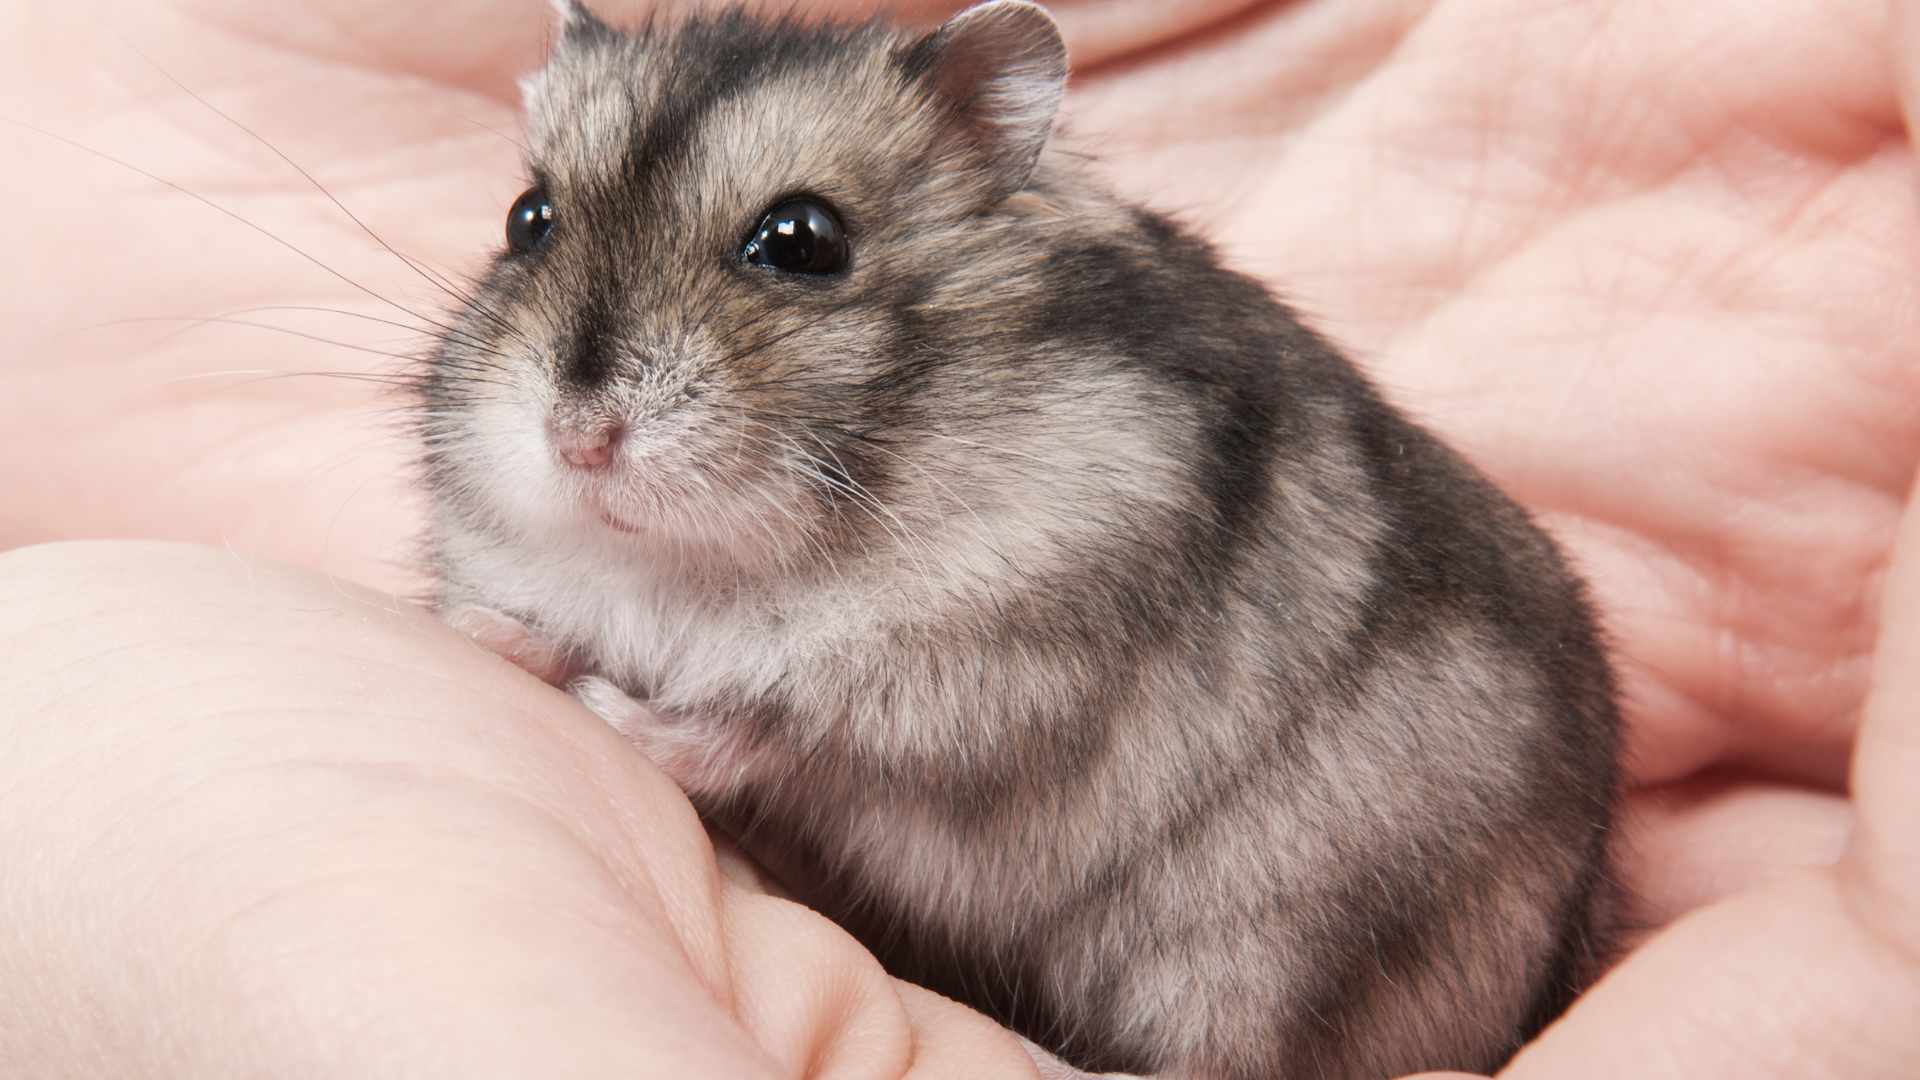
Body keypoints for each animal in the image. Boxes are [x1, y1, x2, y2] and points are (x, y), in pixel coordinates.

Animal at [421, 2, 1619, 1077]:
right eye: (527, 218)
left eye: (803, 239)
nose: (579, 440)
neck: (701, 562)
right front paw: (484, 632)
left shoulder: (980, 680)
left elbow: (756, 728)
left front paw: (604, 705)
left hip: (1281, 938)